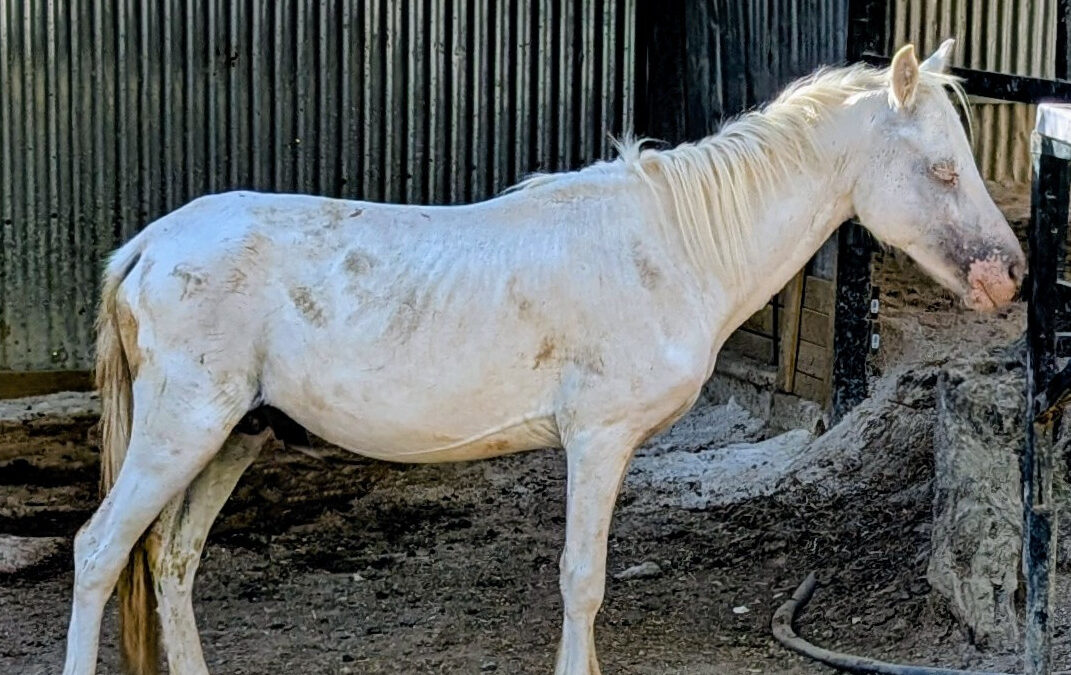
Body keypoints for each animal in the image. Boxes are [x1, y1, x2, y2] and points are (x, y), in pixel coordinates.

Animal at [63, 40, 1024, 674]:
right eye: (941, 170)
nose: (1010, 275)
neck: (670, 244)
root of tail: (147, 246)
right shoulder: (596, 440)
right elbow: (581, 581)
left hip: (237, 433)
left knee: (172, 560)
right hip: (184, 429)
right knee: (102, 550)